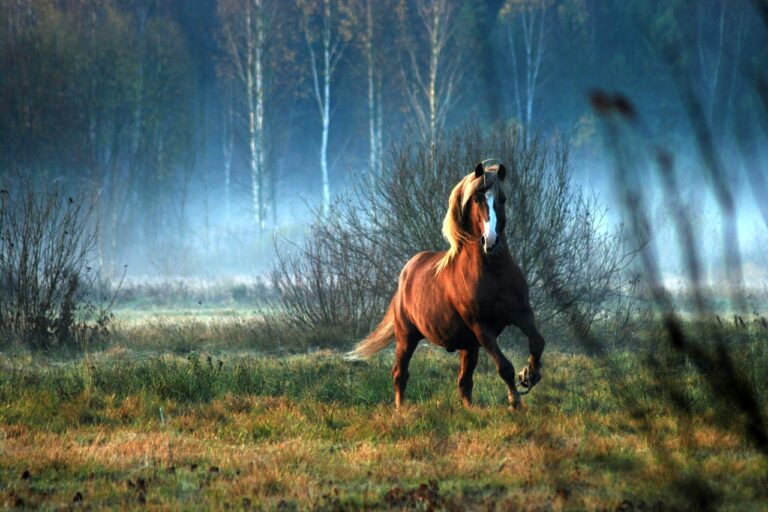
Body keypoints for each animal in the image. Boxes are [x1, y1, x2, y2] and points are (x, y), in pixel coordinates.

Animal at [348, 162, 545, 409]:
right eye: (477, 199)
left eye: (503, 199)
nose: (491, 242)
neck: (495, 274)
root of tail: (406, 272)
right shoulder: (482, 327)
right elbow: (504, 367)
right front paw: (515, 399)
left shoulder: (521, 313)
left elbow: (537, 342)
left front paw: (529, 375)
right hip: (407, 335)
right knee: (400, 373)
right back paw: (401, 410)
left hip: (468, 346)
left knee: (464, 382)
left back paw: (471, 411)